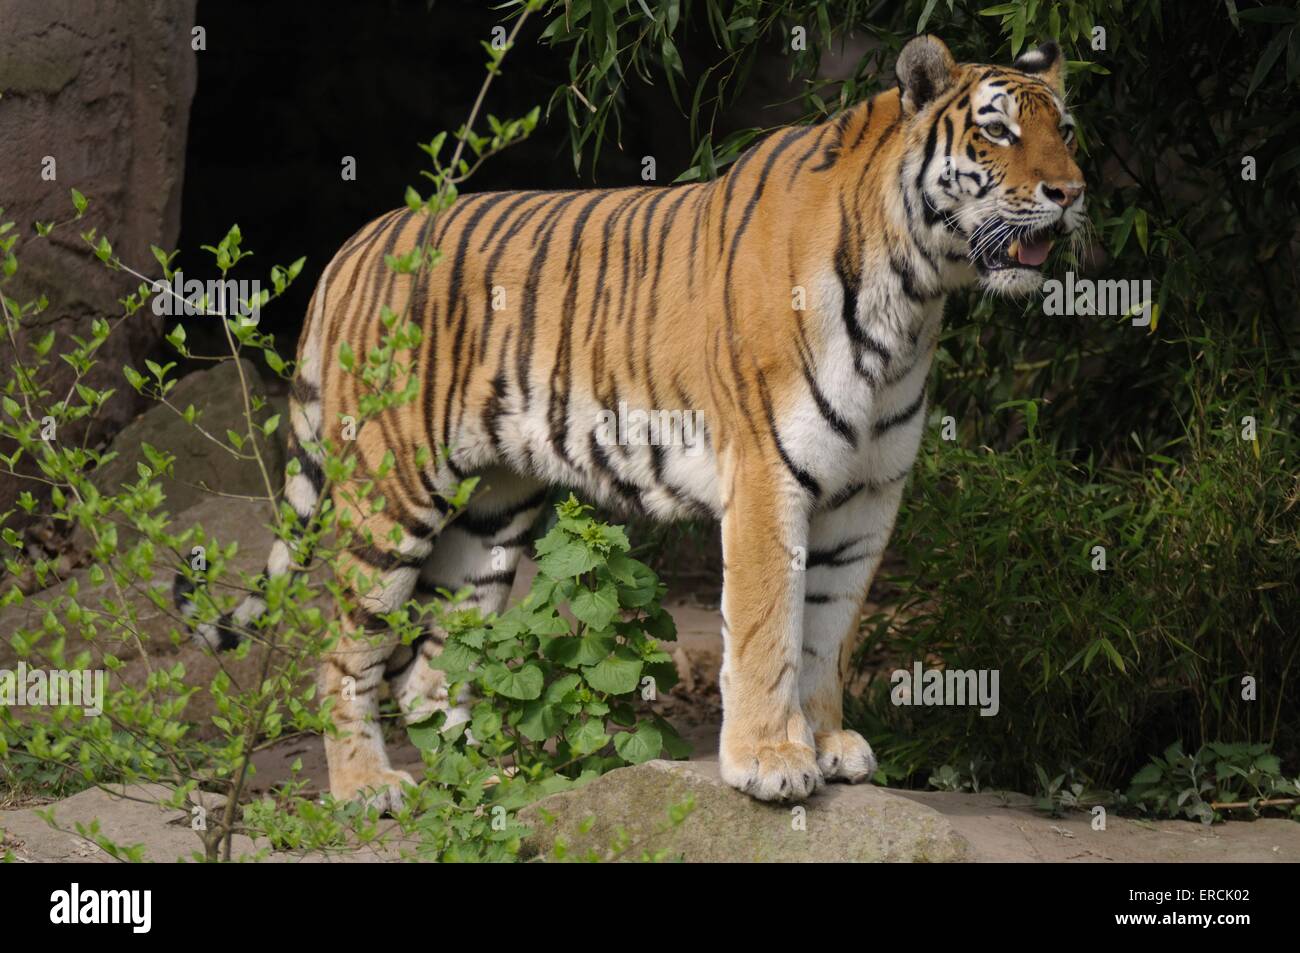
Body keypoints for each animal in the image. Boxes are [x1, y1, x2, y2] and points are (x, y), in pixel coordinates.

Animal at [177, 35, 1085, 806]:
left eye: (1066, 130)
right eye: (997, 131)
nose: (1072, 193)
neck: (914, 294)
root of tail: (357, 242)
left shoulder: (868, 496)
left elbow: (828, 629)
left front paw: (828, 744)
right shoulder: (768, 476)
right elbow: (768, 627)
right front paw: (770, 762)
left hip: (491, 514)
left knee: (430, 672)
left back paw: (486, 781)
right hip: (391, 492)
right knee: (341, 651)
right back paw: (368, 787)